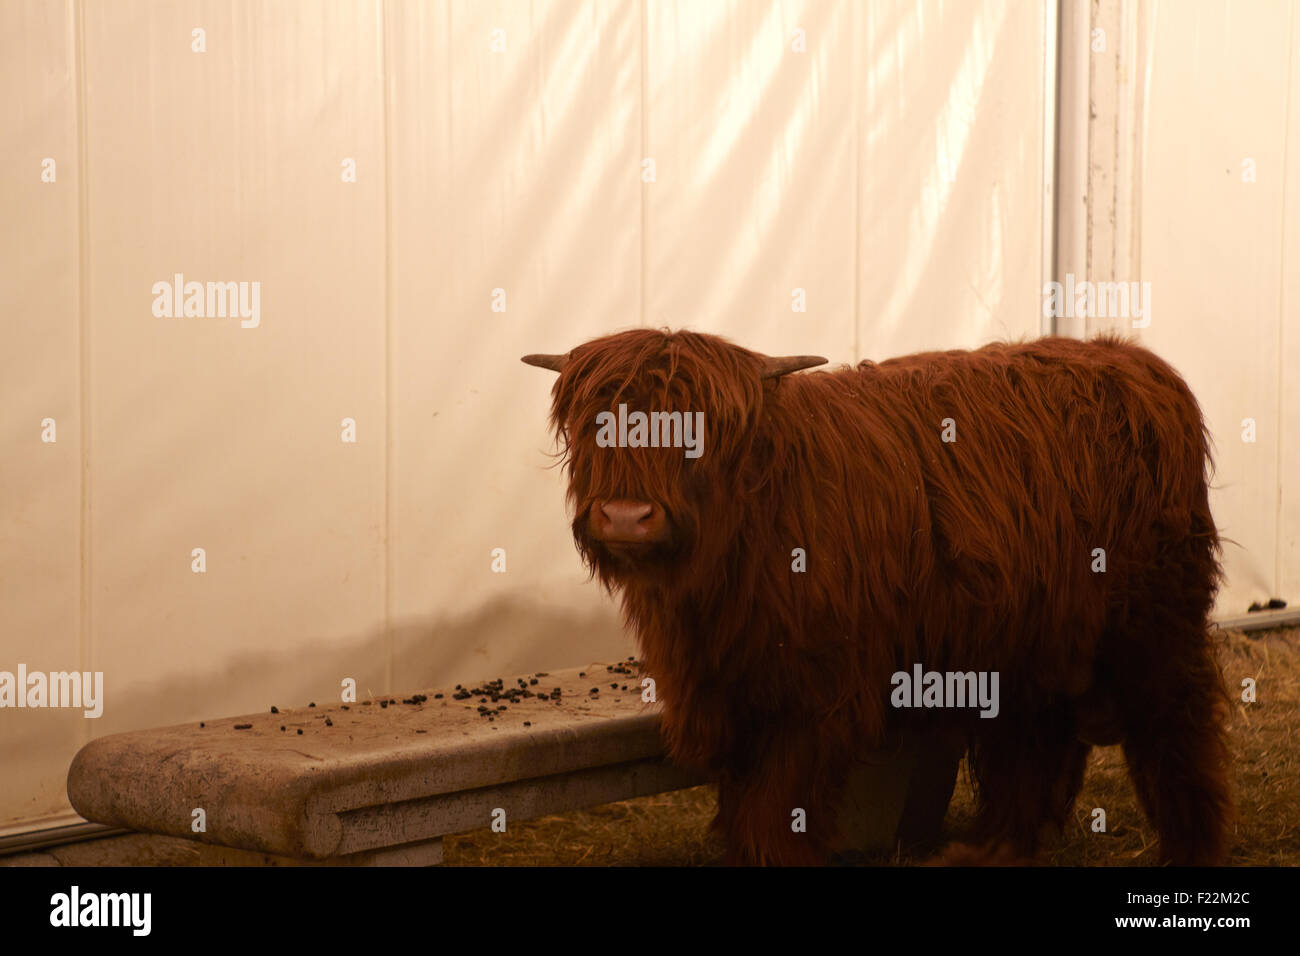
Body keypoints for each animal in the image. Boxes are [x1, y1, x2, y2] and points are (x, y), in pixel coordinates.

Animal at [523, 328, 1232, 865]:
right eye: (595, 423)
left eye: (695, 430)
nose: (625, 516)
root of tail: (1130, 358)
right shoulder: (729, 690)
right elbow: (742, 807)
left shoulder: (815, 695)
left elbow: (776, 811)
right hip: (1031, 638)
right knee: (1034, 738)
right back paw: (993, 849)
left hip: (1157, 623)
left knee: (1179, 725)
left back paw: (1191, 850)